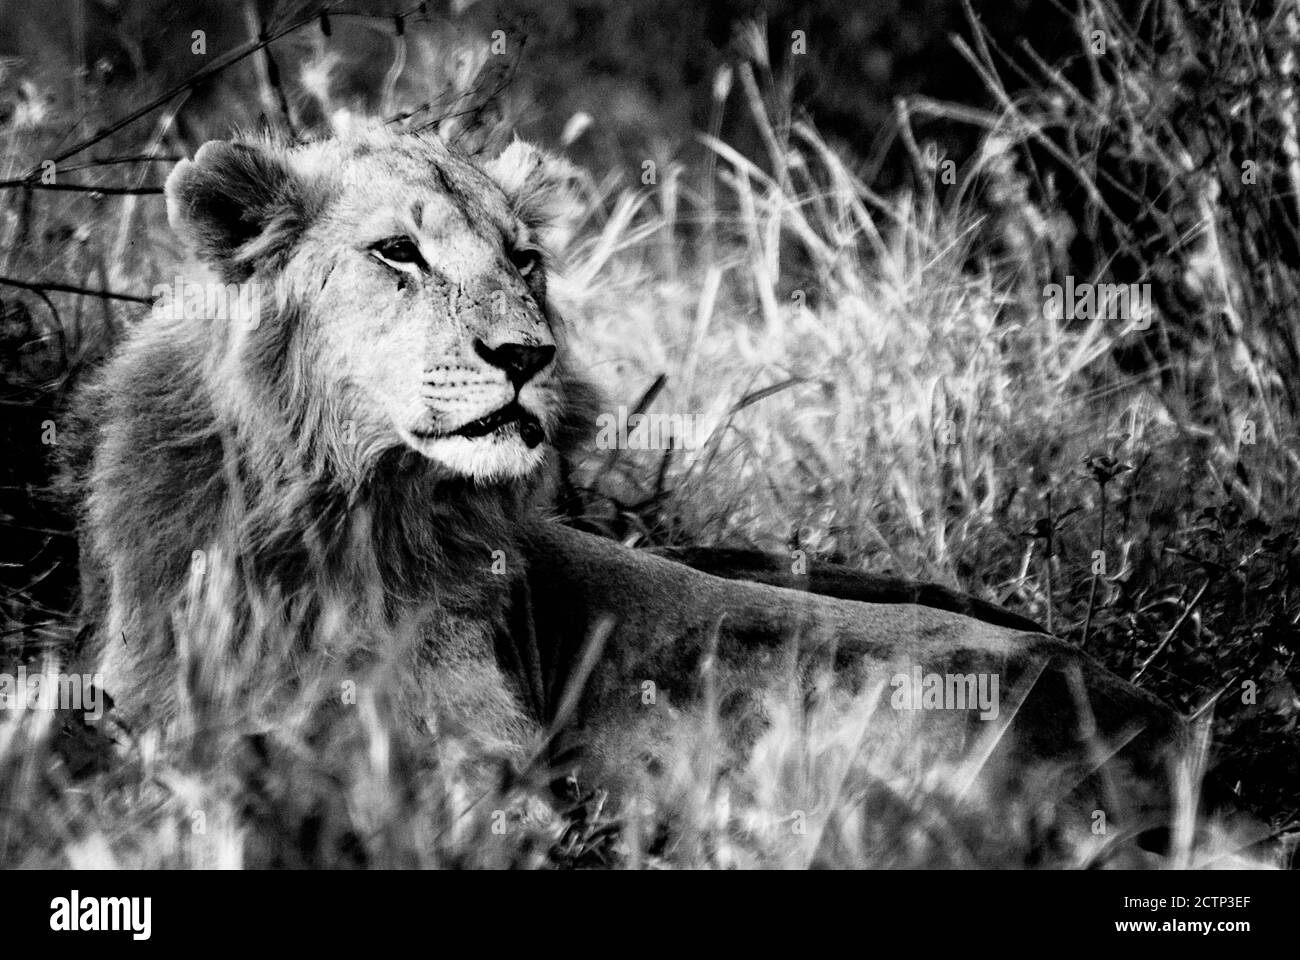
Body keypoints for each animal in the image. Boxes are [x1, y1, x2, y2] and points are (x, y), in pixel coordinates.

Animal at [65, 127, 1186, 851]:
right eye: (396, 253)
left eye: (523, 259)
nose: (527, 355)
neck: (332, 512)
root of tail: (1169, 734)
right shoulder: (143, 701)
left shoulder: (497, 773)